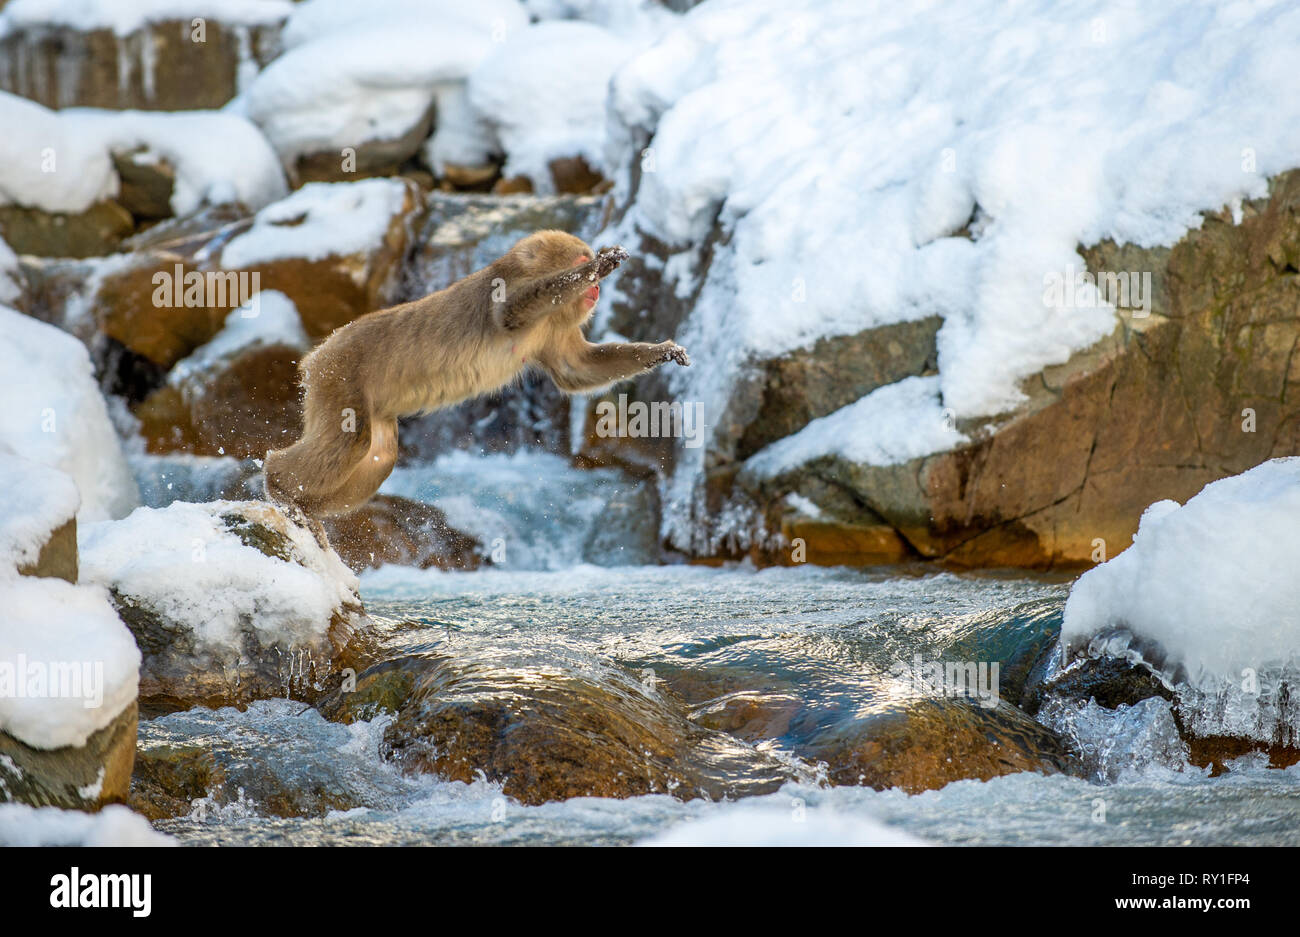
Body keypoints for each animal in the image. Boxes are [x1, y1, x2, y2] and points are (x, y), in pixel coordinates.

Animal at [263, 230, 689, 537]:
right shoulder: (508, 290)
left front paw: (662, 351)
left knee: (379, 456)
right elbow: (511, 312)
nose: (596, 289)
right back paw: (278, 483)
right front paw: (604, 264)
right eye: (581, 260)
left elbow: (574, 370)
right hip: (338, 377)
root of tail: (318, 354)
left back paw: (306, 506)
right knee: (351, 440)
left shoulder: (553, 328)